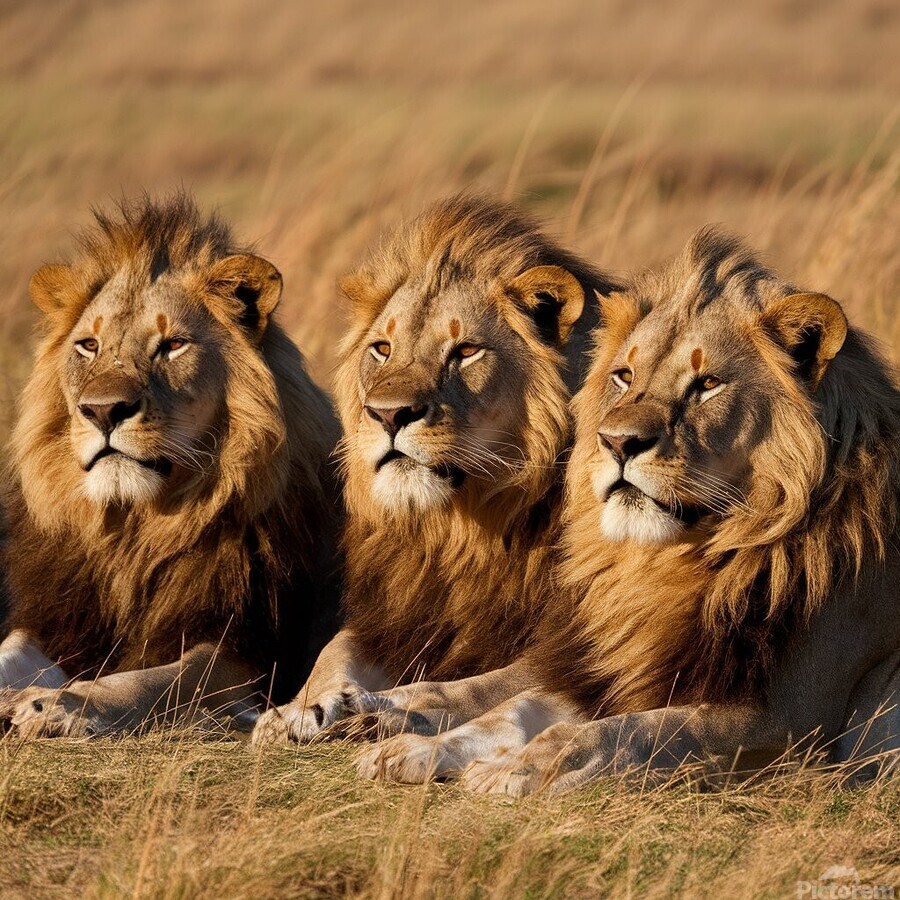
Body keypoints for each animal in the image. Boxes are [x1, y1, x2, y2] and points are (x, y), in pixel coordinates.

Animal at [0, 193, 341, 737]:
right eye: (88, 346)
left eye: (172, 345)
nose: (103, 411)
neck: (135, 531)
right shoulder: (59, 620)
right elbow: (10, 649)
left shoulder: (242, 651)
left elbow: (152, 678)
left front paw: (58, 704)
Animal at [251, 195, 620, 745]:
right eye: (382, 349)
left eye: (466, 351)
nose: (387, 415)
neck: (460, 531)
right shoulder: (398, 614)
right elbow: (331, 654)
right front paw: (298, 709)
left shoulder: (573, 648)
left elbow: (464, 689)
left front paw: (386, 709)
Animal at [357, 226, 900, 791]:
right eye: (623, 376)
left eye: (708, 384)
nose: (617, 442)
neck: (676, 564)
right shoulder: (614, 667)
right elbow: (508, 708)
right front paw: (413, 747)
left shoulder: (790, 718)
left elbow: (626, 731)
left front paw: (521, 767)